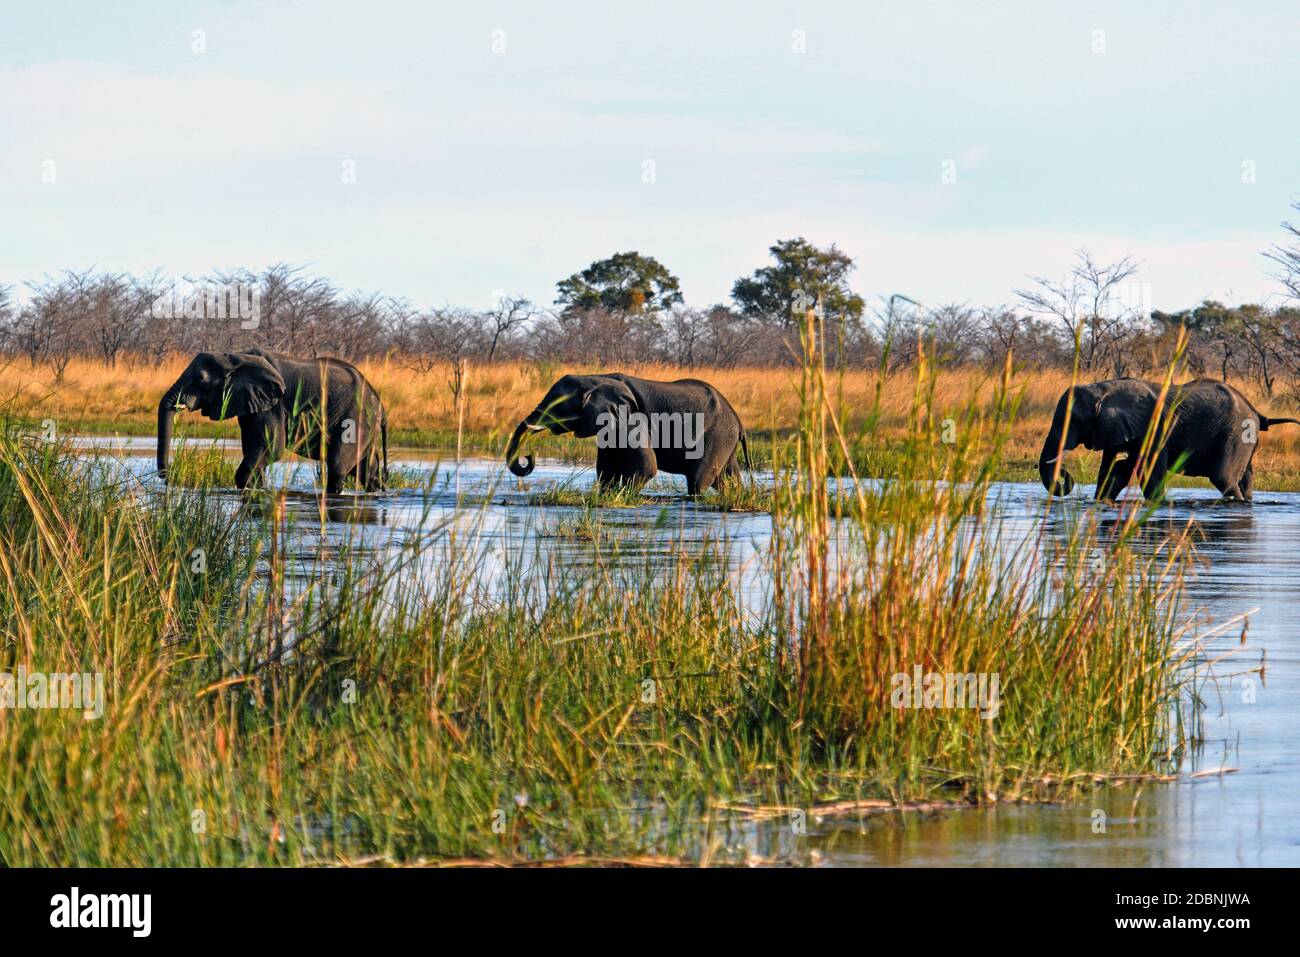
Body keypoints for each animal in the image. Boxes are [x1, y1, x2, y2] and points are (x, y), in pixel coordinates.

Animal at [157, 349, 388, 493]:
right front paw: (257, 487)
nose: (167, 476)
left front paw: (249, 484)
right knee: (367, 470)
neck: (236, 356)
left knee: (339, 468)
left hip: (356, 417)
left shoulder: (274, 404)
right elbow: (256, 448)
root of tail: (380, 404)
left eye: (202, 380)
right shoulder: (252, 402)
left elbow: (271, 448)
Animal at [504, 373, 751, 494]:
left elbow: (646, 466)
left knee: (698, 481)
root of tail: (739, 421)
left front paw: (624, 497)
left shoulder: (632, 418)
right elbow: (606, 468)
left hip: (717, 435)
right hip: (724, 439)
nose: (528, 457)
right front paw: (607, 496)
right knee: (727, 478)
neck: (595, 378)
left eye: (558, 407)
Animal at [1038, 377, 1299, 502]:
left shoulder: (1154, 428)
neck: (1103, 388)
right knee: (1245, 479)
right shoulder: (1114, 430)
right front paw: (1101, 502)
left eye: (1072, 421)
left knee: (1224, 478)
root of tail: (1257, 412)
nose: (1066, 477)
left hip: (1235, 433)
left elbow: (1148, 472)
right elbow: (1114, 470)